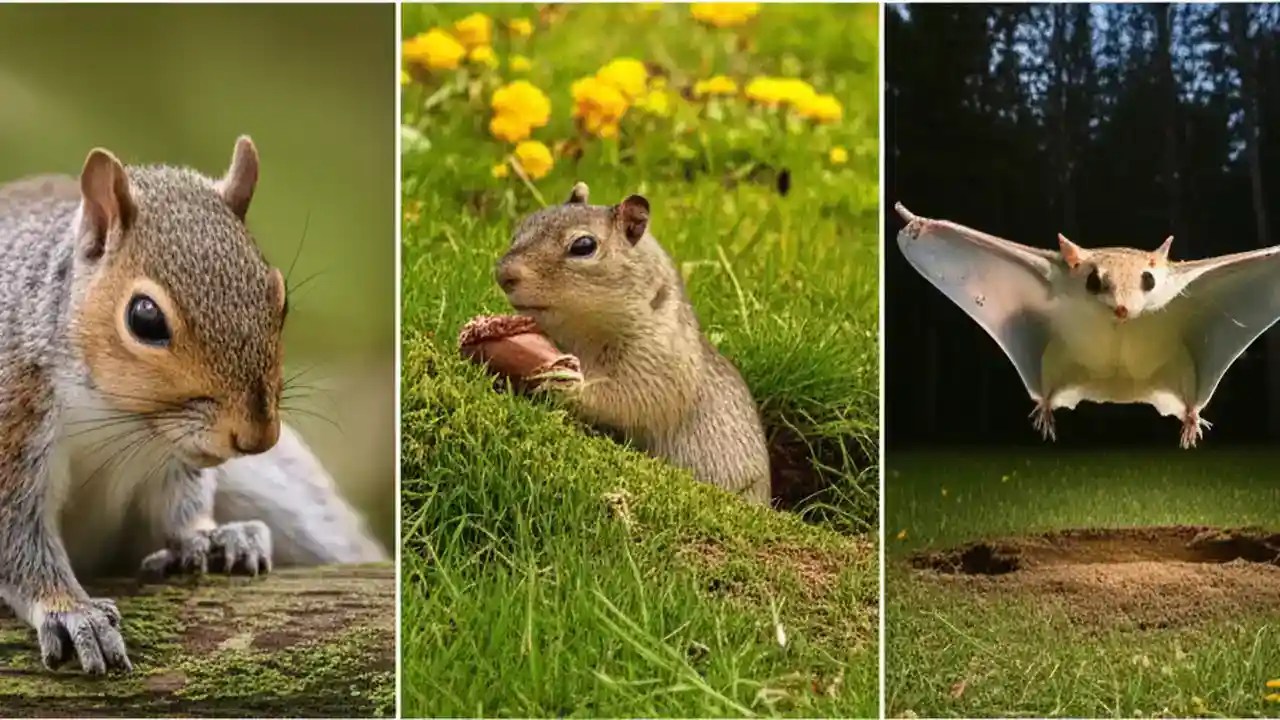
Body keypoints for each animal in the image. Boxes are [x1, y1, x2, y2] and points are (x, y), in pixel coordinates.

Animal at [0, 137, 384, 675]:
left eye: (280, 297)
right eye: (143, 317)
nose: (257, 437)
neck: (118, 416)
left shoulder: (174, 456)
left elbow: (180, 500)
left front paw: (207, 537)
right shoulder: (14, 411)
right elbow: (18, 537)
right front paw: (72, 611)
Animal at [495, 182, 771, 504]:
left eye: (583, 246)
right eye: (523, 226)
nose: (503, 274)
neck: (584, 335)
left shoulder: (662, 363)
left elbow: (631, 399)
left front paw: (568, 384)